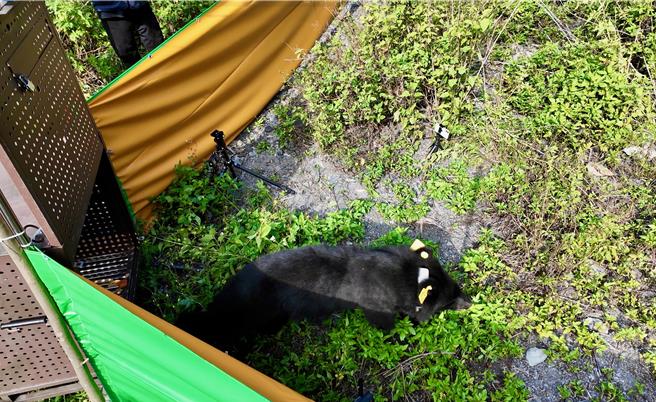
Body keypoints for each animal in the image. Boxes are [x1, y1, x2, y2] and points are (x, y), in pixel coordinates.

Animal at [176, 239, 471, 351]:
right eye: (447, 302)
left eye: (457, 286)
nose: (470, 302)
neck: (405, 276)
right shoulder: (376, 308)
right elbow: (385, 324)